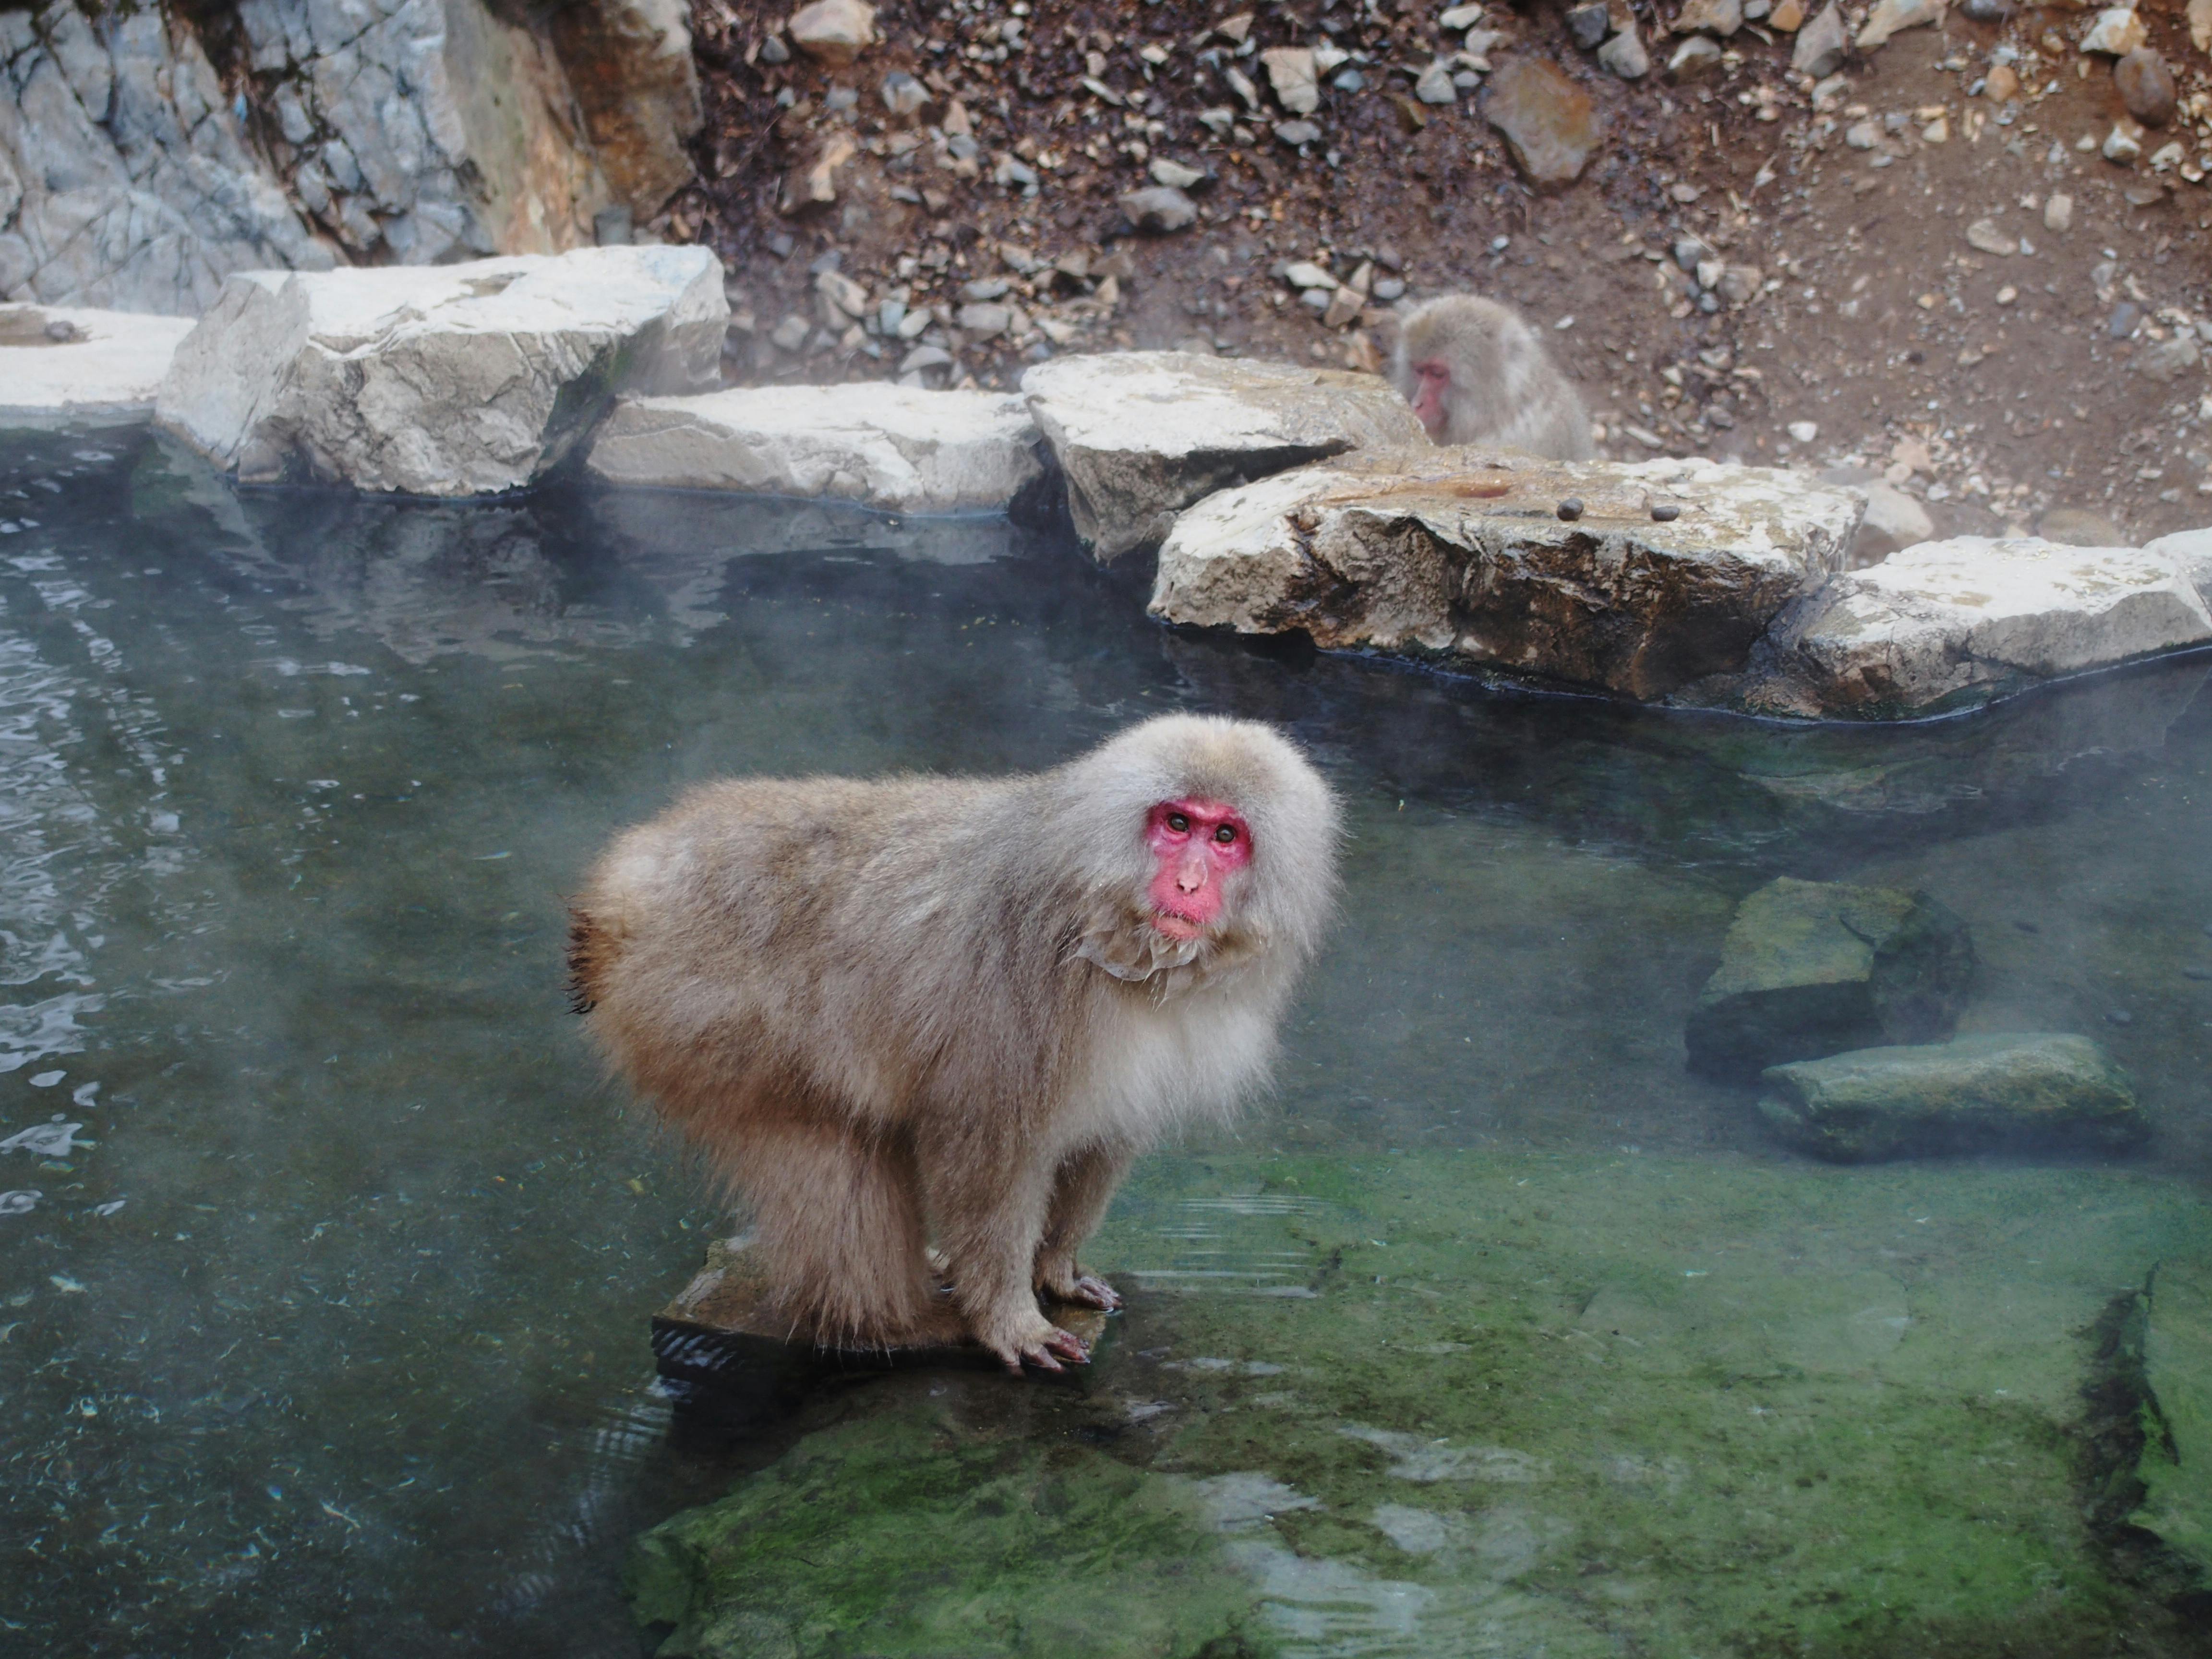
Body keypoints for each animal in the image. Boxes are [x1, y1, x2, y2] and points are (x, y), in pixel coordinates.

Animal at [568, 715, 1339, 1375]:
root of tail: (632, 872)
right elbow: (989, 1153)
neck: (1107, 930)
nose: (1187, 882)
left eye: (1226, 836)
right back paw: (887, 1324)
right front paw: (1007, 1316)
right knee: (822, 1149)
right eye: (1178, 823)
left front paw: (1055, 1267)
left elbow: (1100, 1138)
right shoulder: (1019, 1001)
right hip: (703, 1015)